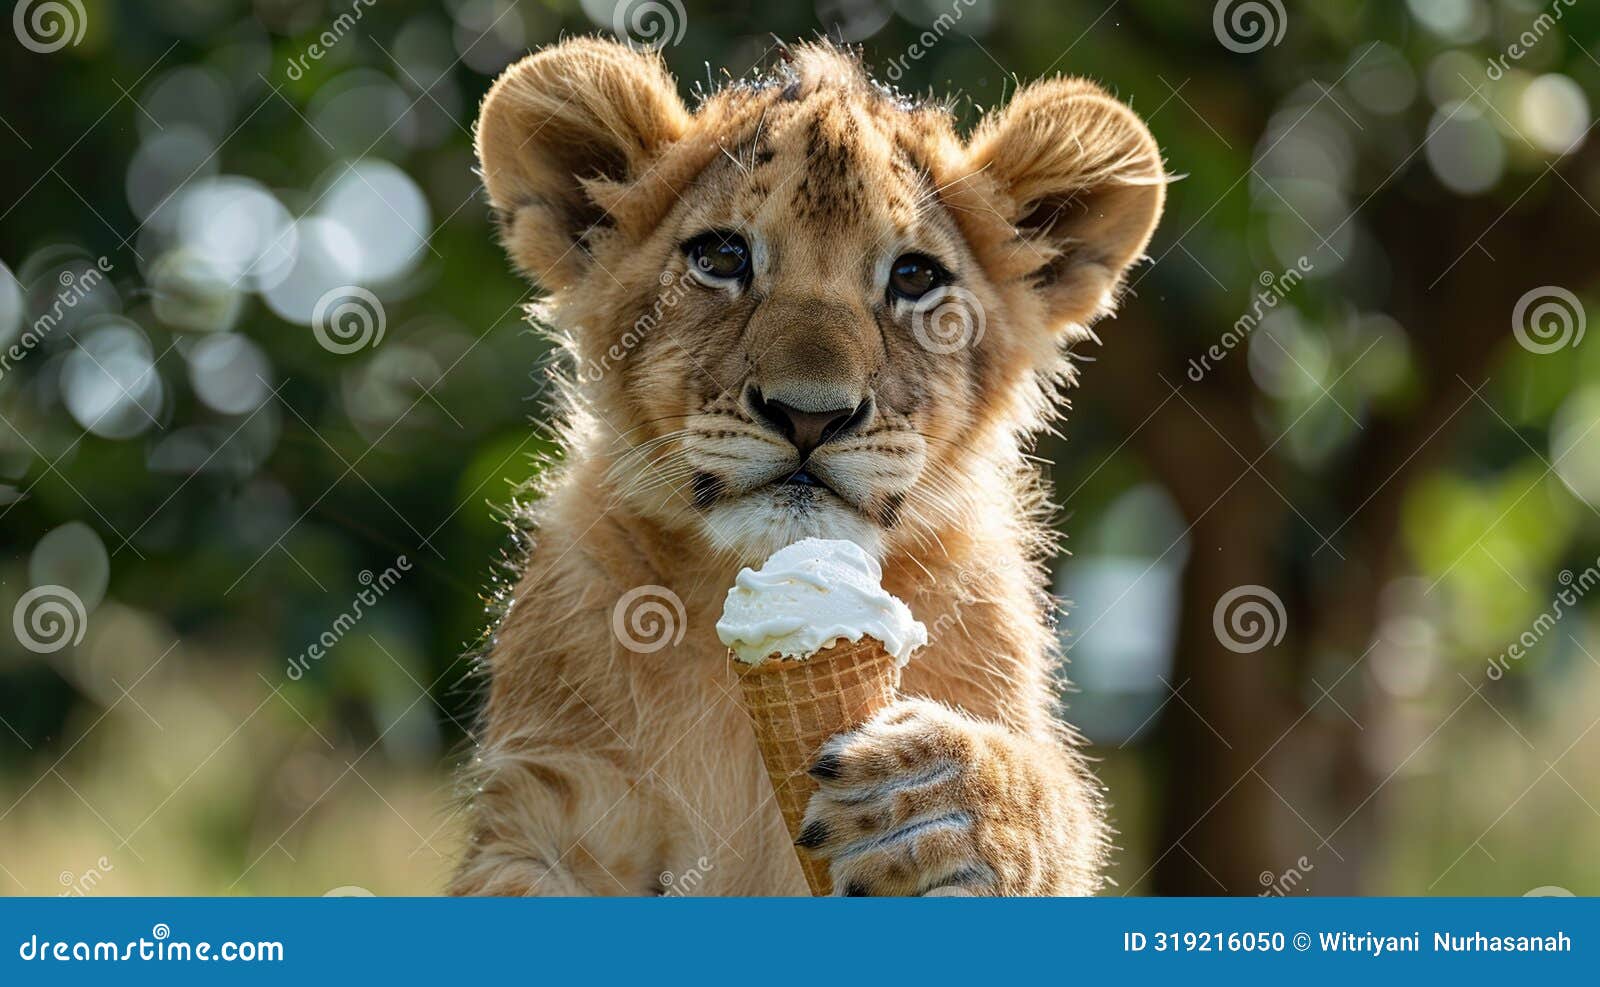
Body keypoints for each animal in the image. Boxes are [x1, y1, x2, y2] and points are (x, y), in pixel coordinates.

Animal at [449, 36, 1166, 896]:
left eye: (915, 277)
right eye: (721, 255)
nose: (811, 415)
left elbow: (1047, 810)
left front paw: (940, 800)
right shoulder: (549, 808)